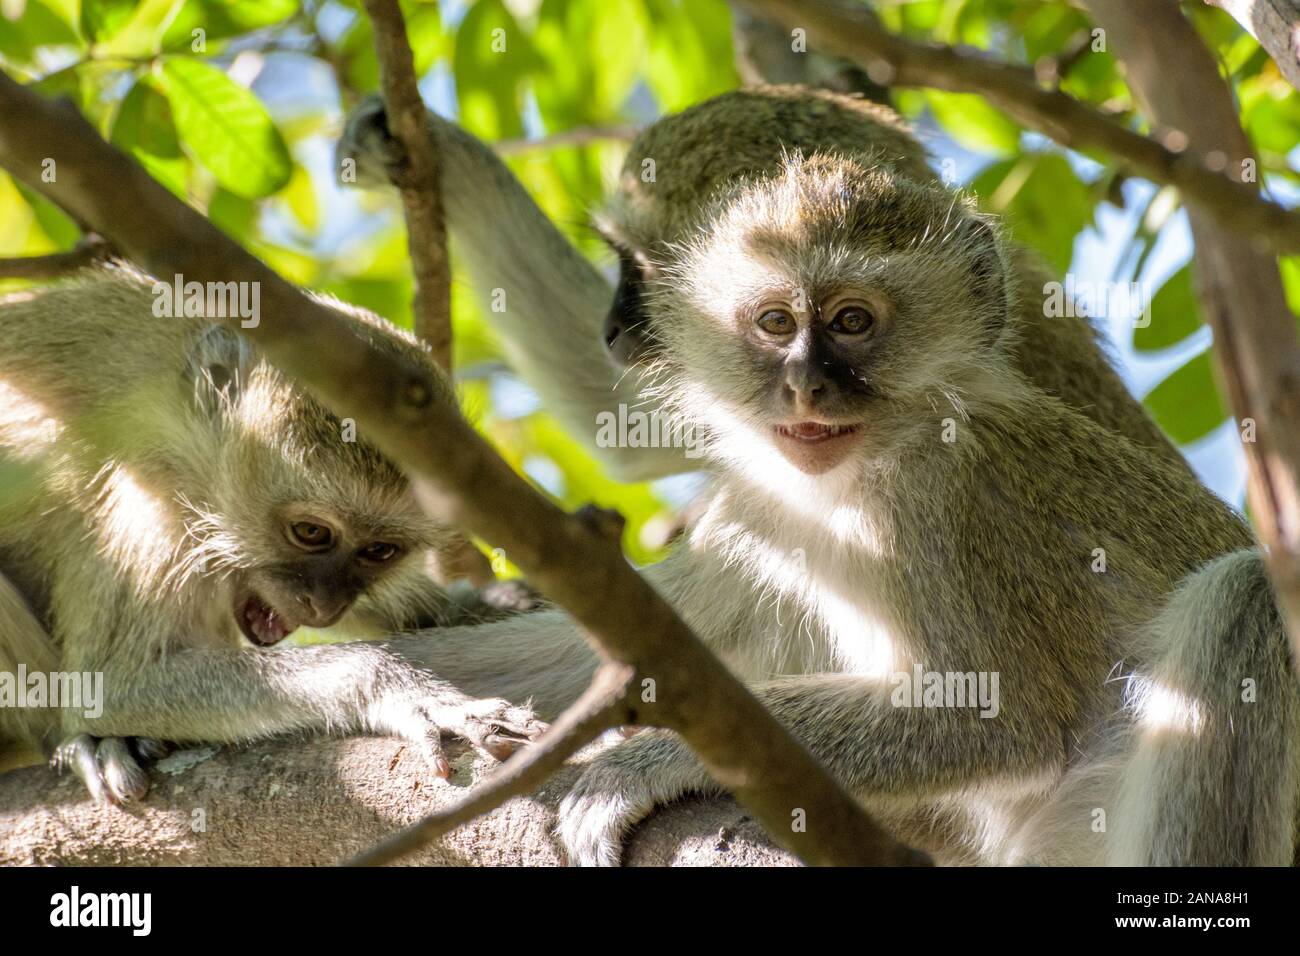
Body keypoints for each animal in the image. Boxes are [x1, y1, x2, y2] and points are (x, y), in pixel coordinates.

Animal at [0, 264, 545, 804]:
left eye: (378, 551)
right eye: (310, 532)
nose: (323, 606)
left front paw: (493, 601)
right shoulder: (152, 495)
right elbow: (111, 684)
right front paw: (403, 690)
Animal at [338, 88, 1294, 865]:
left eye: (851, 322)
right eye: (772, 322)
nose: (804, 386)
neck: (856, 478)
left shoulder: (945, 497)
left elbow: (998, 718)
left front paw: (635, 765)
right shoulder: (762, 508)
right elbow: (619, 636)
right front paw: (381, 682)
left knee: (1245, 598)